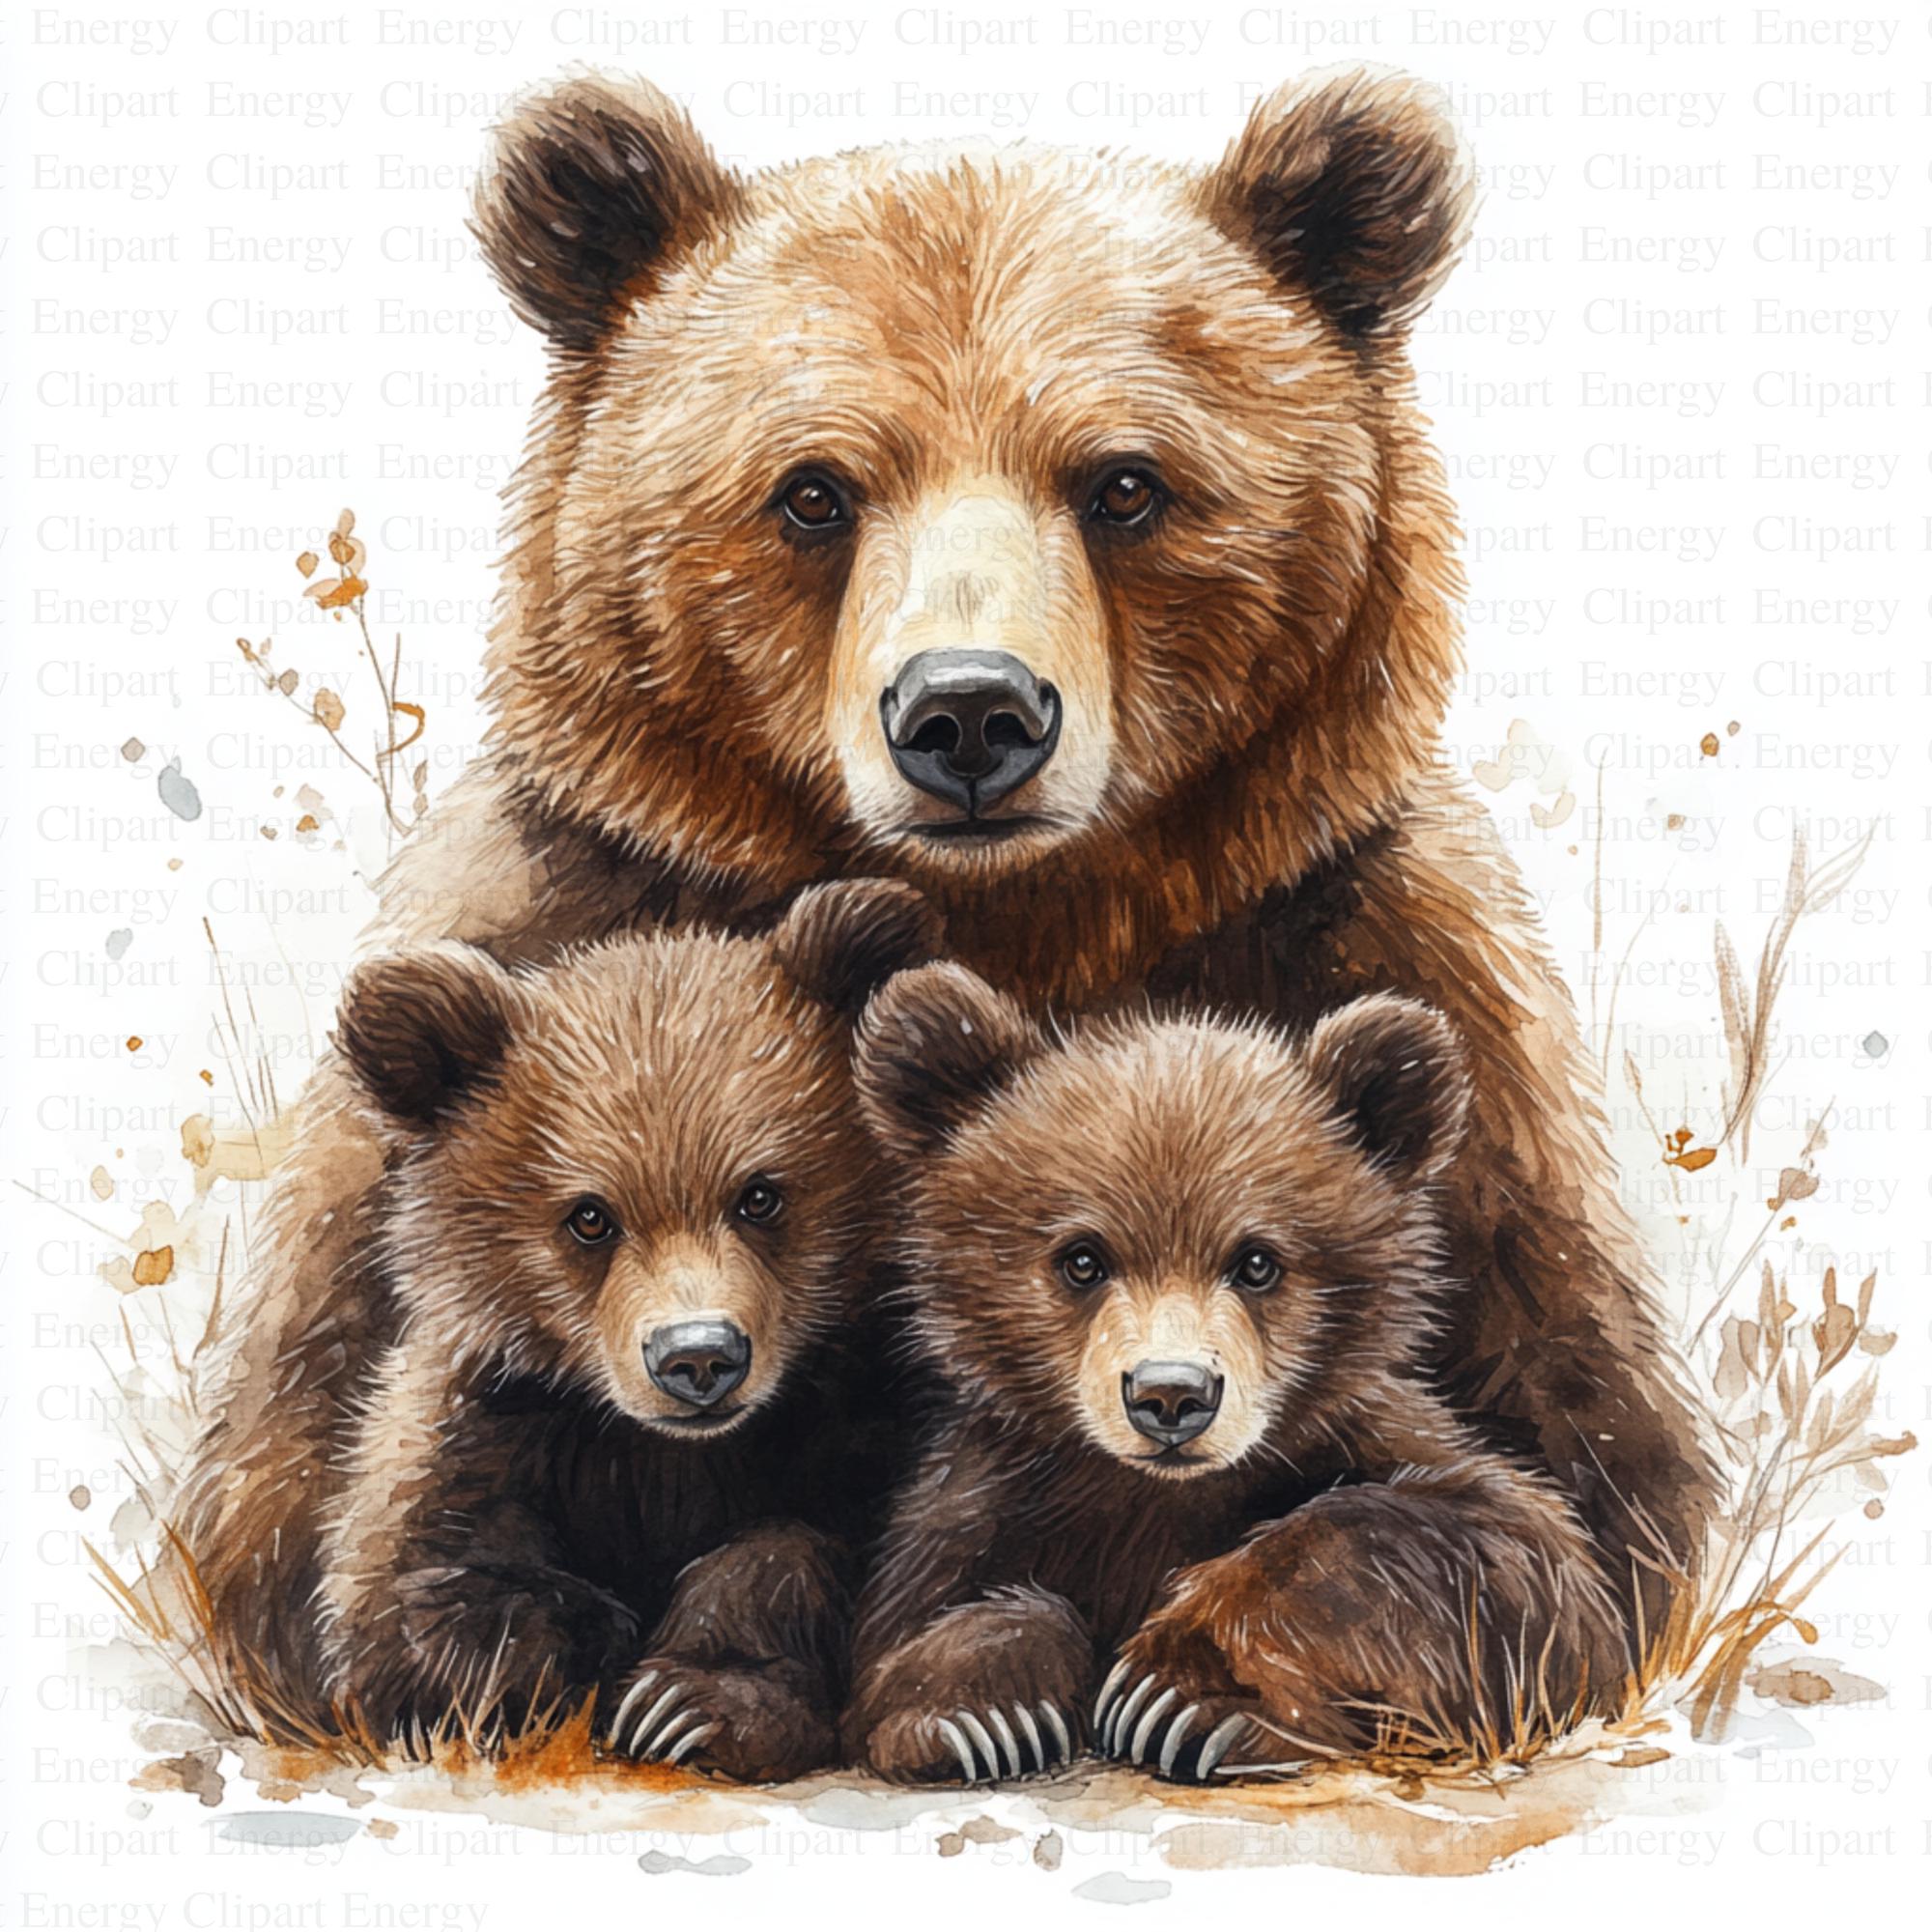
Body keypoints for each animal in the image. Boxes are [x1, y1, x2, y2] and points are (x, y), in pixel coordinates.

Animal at [186, 879, 938, 1774]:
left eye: (762, 1194)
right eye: (589, 1217)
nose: (697, 1358)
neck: (670, 1454)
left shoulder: (853, 1422)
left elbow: (812, 1546)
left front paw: (688, 1704)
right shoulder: (484, 1426)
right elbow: (411, 1594)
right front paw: (583, 1648)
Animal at [842, 967, 1630, 1782]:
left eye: (1257, 1261)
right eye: (1082, 1258)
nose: (1170, 1394)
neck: (1151, 1497)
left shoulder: (1375, 1445)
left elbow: (1524, 1570)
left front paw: (1179, 1697)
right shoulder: (983, 1504)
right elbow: (904, 1635)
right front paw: (984, 1714)